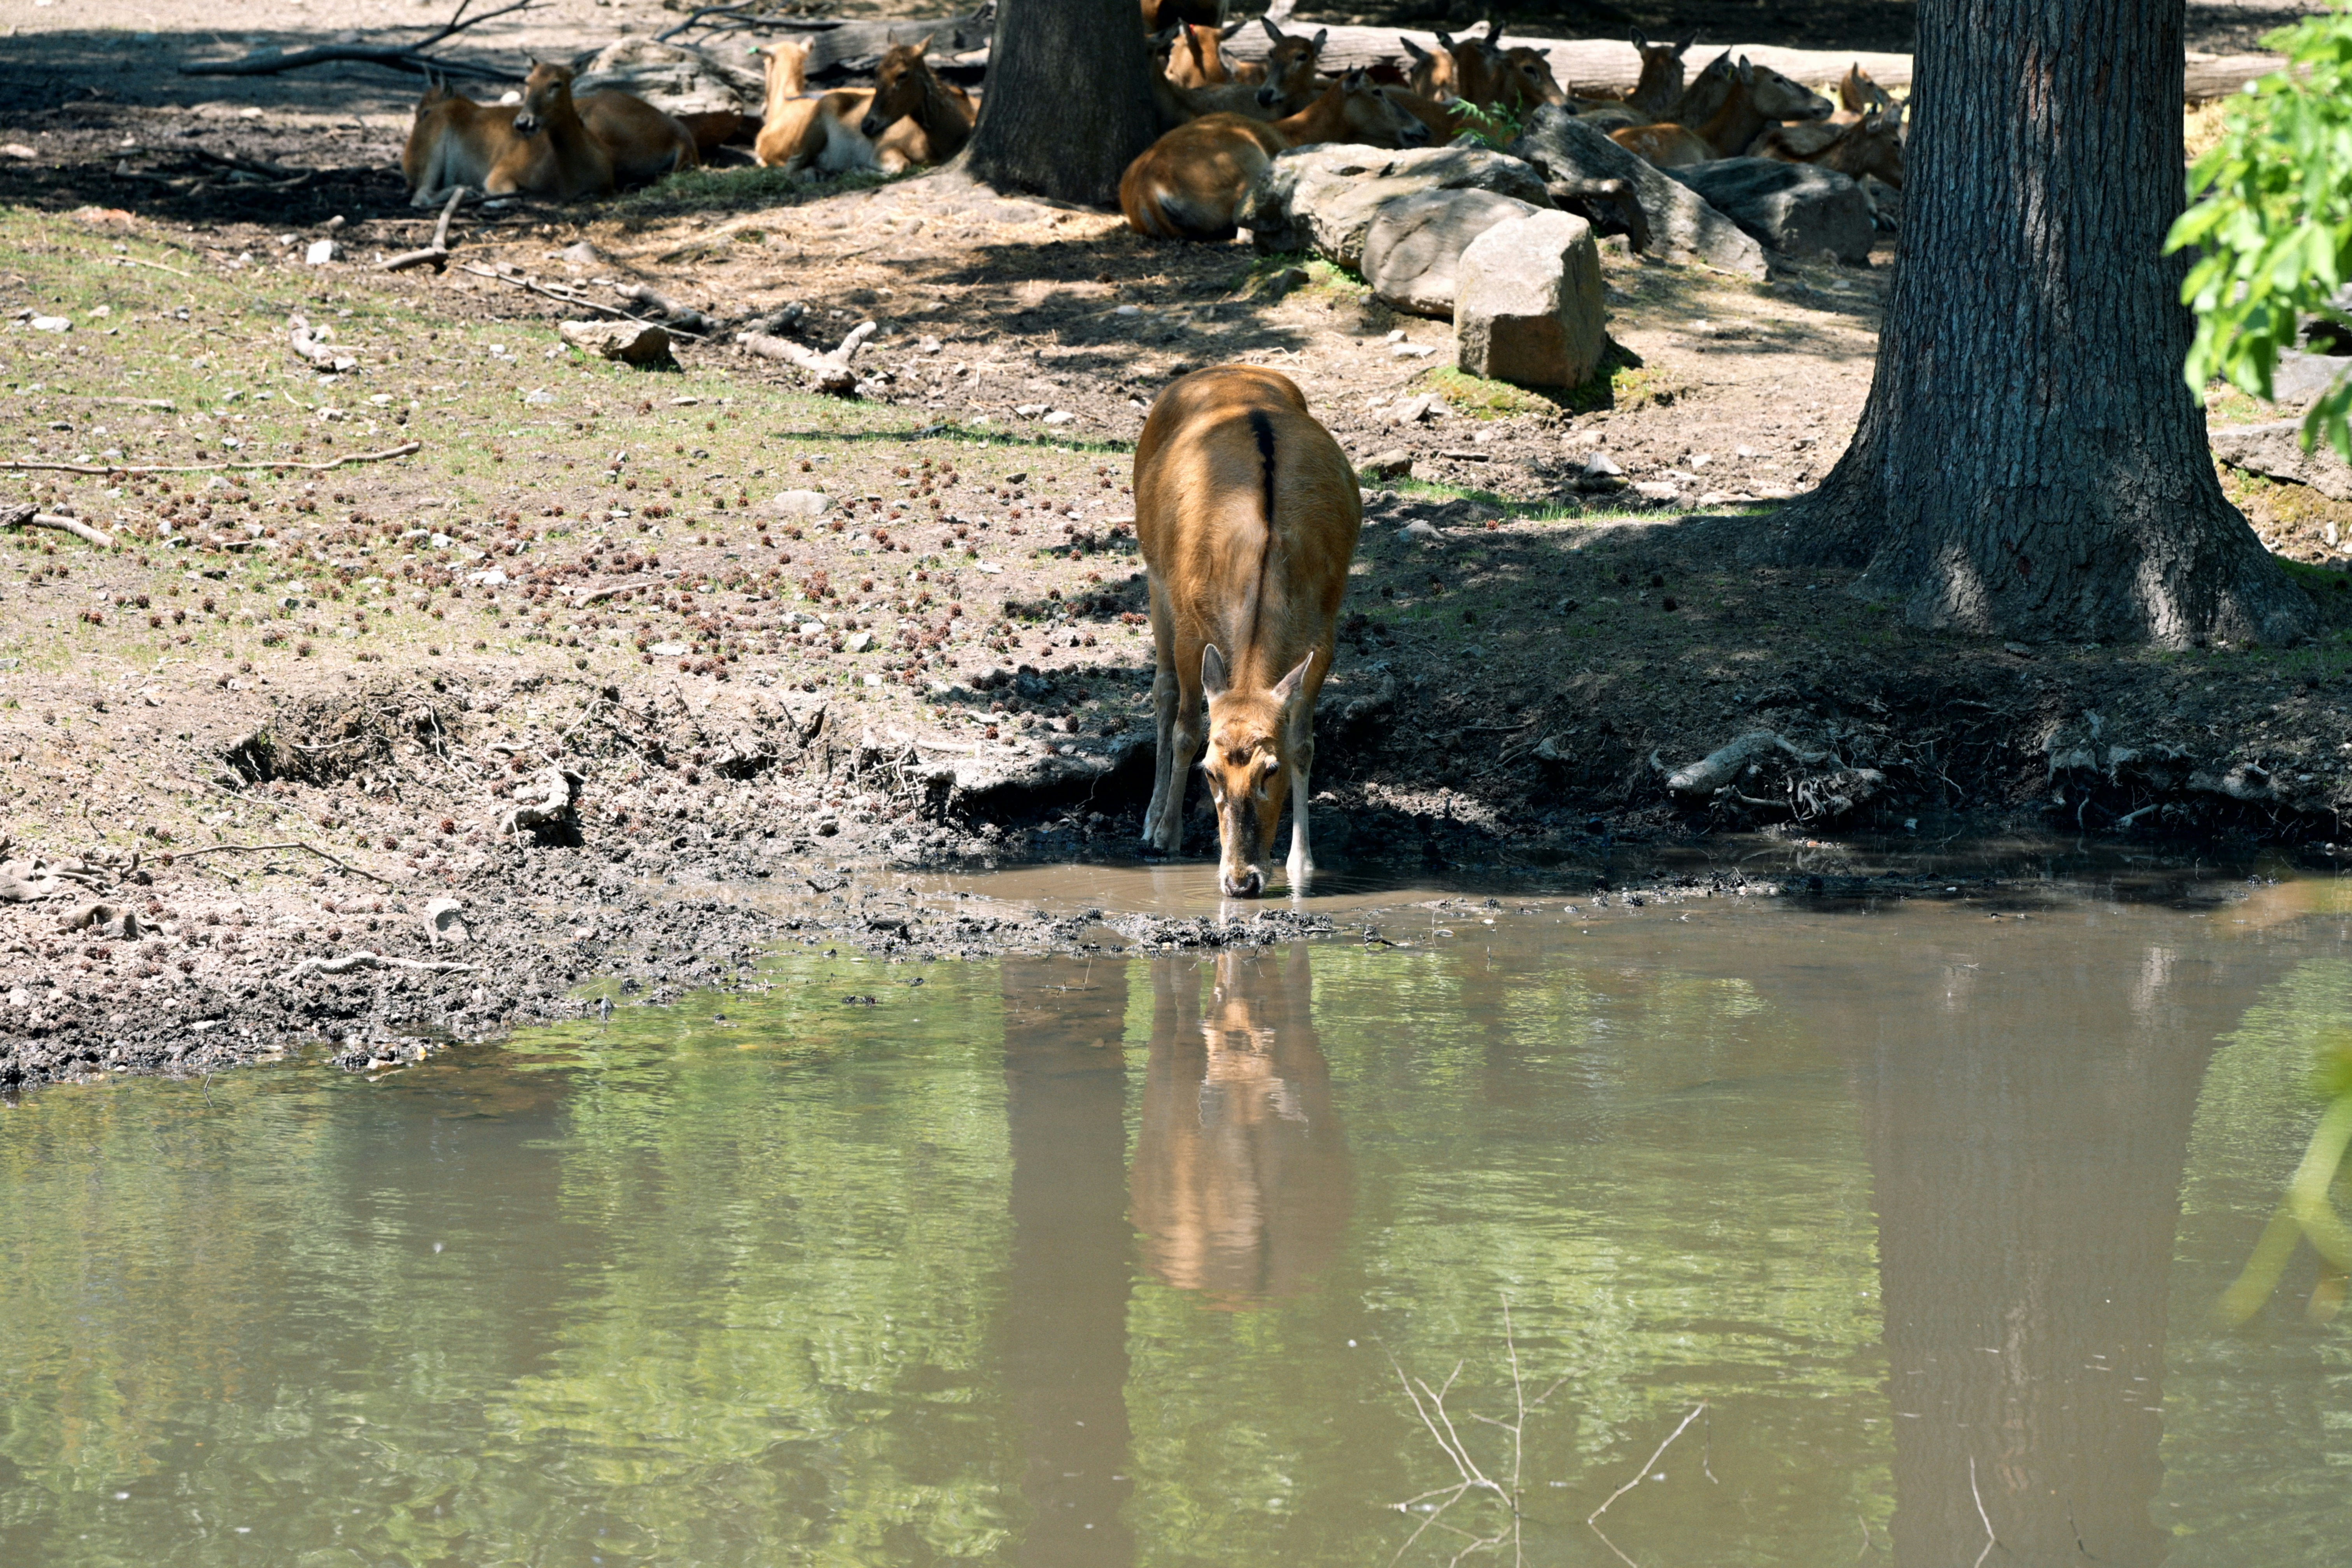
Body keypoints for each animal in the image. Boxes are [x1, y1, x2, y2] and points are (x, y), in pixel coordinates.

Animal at [1134, 365, 1362, 898]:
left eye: (1269, 770)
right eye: (1211, 772)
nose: (1241, 881)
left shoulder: (1324, 632)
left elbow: (1304, 742)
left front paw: (1302, 863)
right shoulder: (1191, 625)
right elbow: (1187, 728)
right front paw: (1169, 835)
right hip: (1155, 576)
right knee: (1163, 691)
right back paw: (1152, 819)